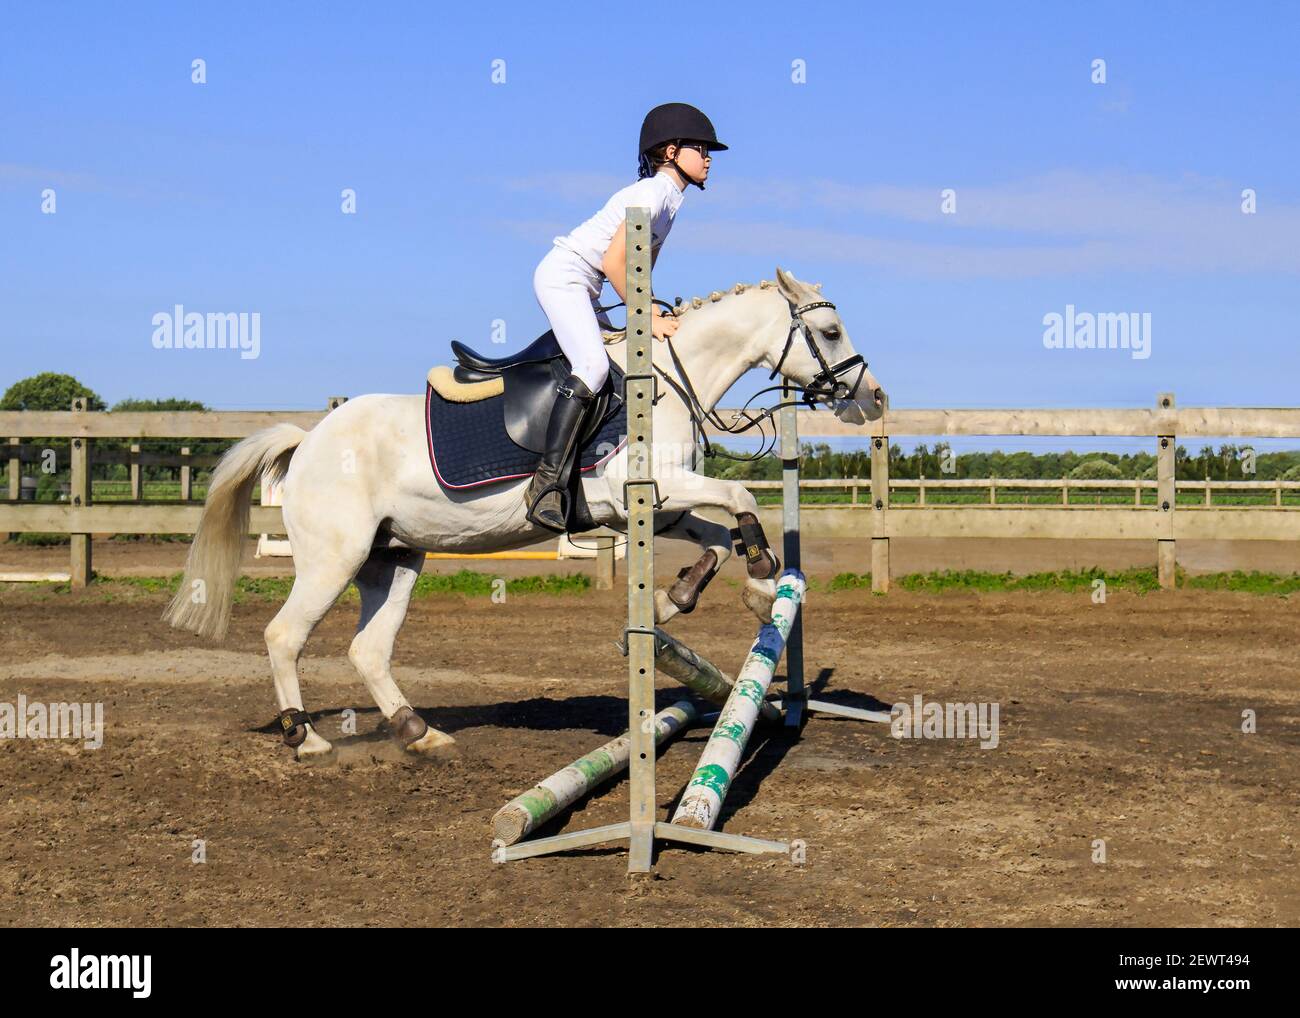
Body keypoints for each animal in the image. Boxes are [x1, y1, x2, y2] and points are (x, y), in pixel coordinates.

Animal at [163, 267, 885, 761]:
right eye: (829, 332)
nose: (873, 399)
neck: (666, 379)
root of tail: (308, 440)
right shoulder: (639, 488)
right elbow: (742, 501)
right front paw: (761, 575)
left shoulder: (647, 506)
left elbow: (714, 536)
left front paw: (688, 598)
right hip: (333, 559)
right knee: (285, 636)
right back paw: (306, 738)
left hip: (393, 561)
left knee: (369, 648)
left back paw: (418, 732)